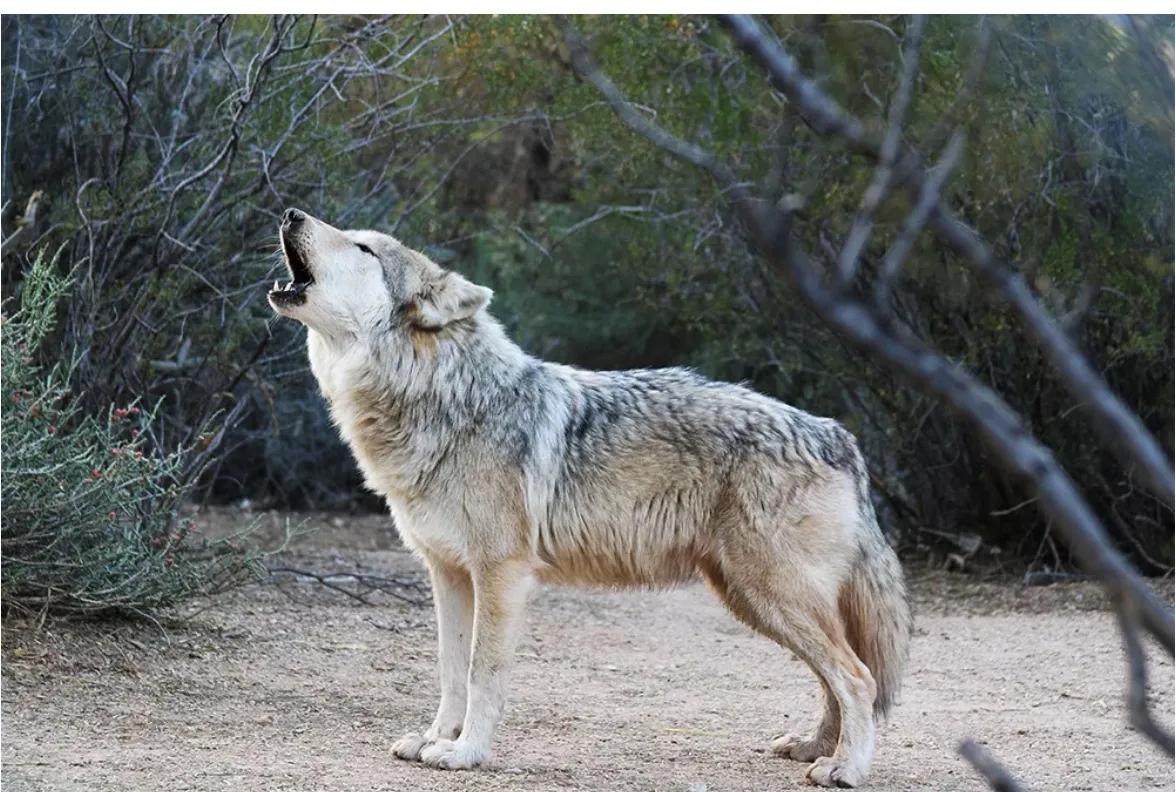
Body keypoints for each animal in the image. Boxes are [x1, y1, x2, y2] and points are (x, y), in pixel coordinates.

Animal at [268, 208, 911, 788]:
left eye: (364, 248)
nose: (291, 212)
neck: (448, 396)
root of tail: (838, 435)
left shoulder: (500, 573)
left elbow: (482, 672)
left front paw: (465, 753)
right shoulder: (447, 573)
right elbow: (450, 672)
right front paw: (433, 740)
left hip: (772, 596)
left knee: (858, 678)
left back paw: (844, 769)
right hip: (755, 601)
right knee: (835, 679)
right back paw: (813, 748)